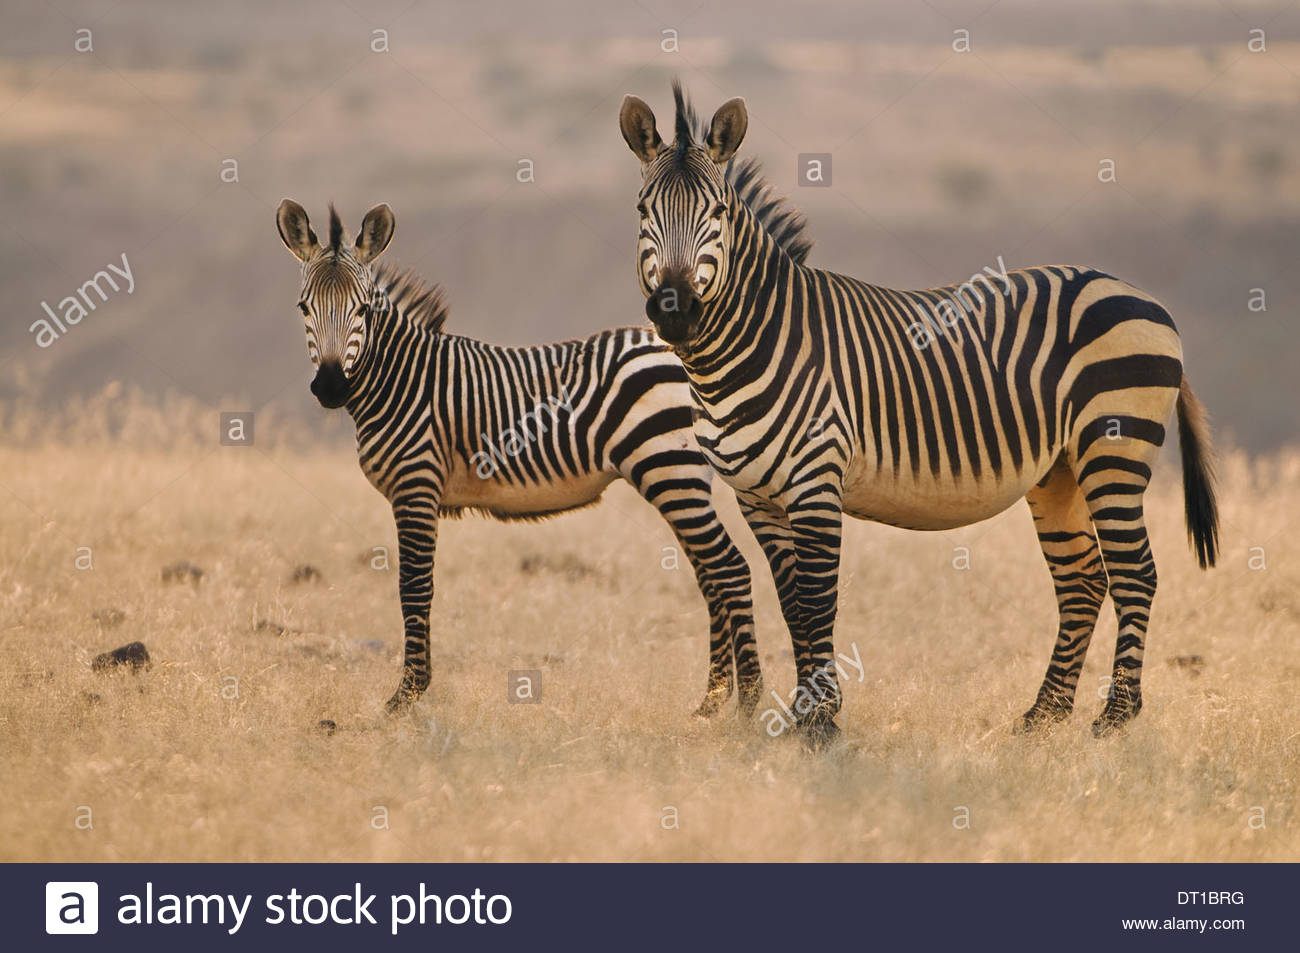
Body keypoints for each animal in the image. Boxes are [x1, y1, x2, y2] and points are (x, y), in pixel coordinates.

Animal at [274, 198, 764, 717]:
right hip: (677, 477)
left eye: (363, 309)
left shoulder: (416, 486)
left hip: (670, 468)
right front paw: (412, 690)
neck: (402, 379)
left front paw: (406, 695)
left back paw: (748, 701)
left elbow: (415, 587)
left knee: (730, 569)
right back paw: (710, 701)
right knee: (711, 576)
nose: (330, 387)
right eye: (304, 307)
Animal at [618, 82, 1220, 745]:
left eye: (719, 214)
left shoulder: (816, 481)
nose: (675, 309)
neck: (755, 343)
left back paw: (1113, 718)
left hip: (1113, 451)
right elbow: (791, 602)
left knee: (1136, 573)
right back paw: (1042, 717)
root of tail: (1142, 297)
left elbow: (817, 600)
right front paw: (803, 715)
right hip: (1058, 470)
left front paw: (821, 722)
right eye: (643, 211)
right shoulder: (756, 497)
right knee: (1084, 581)